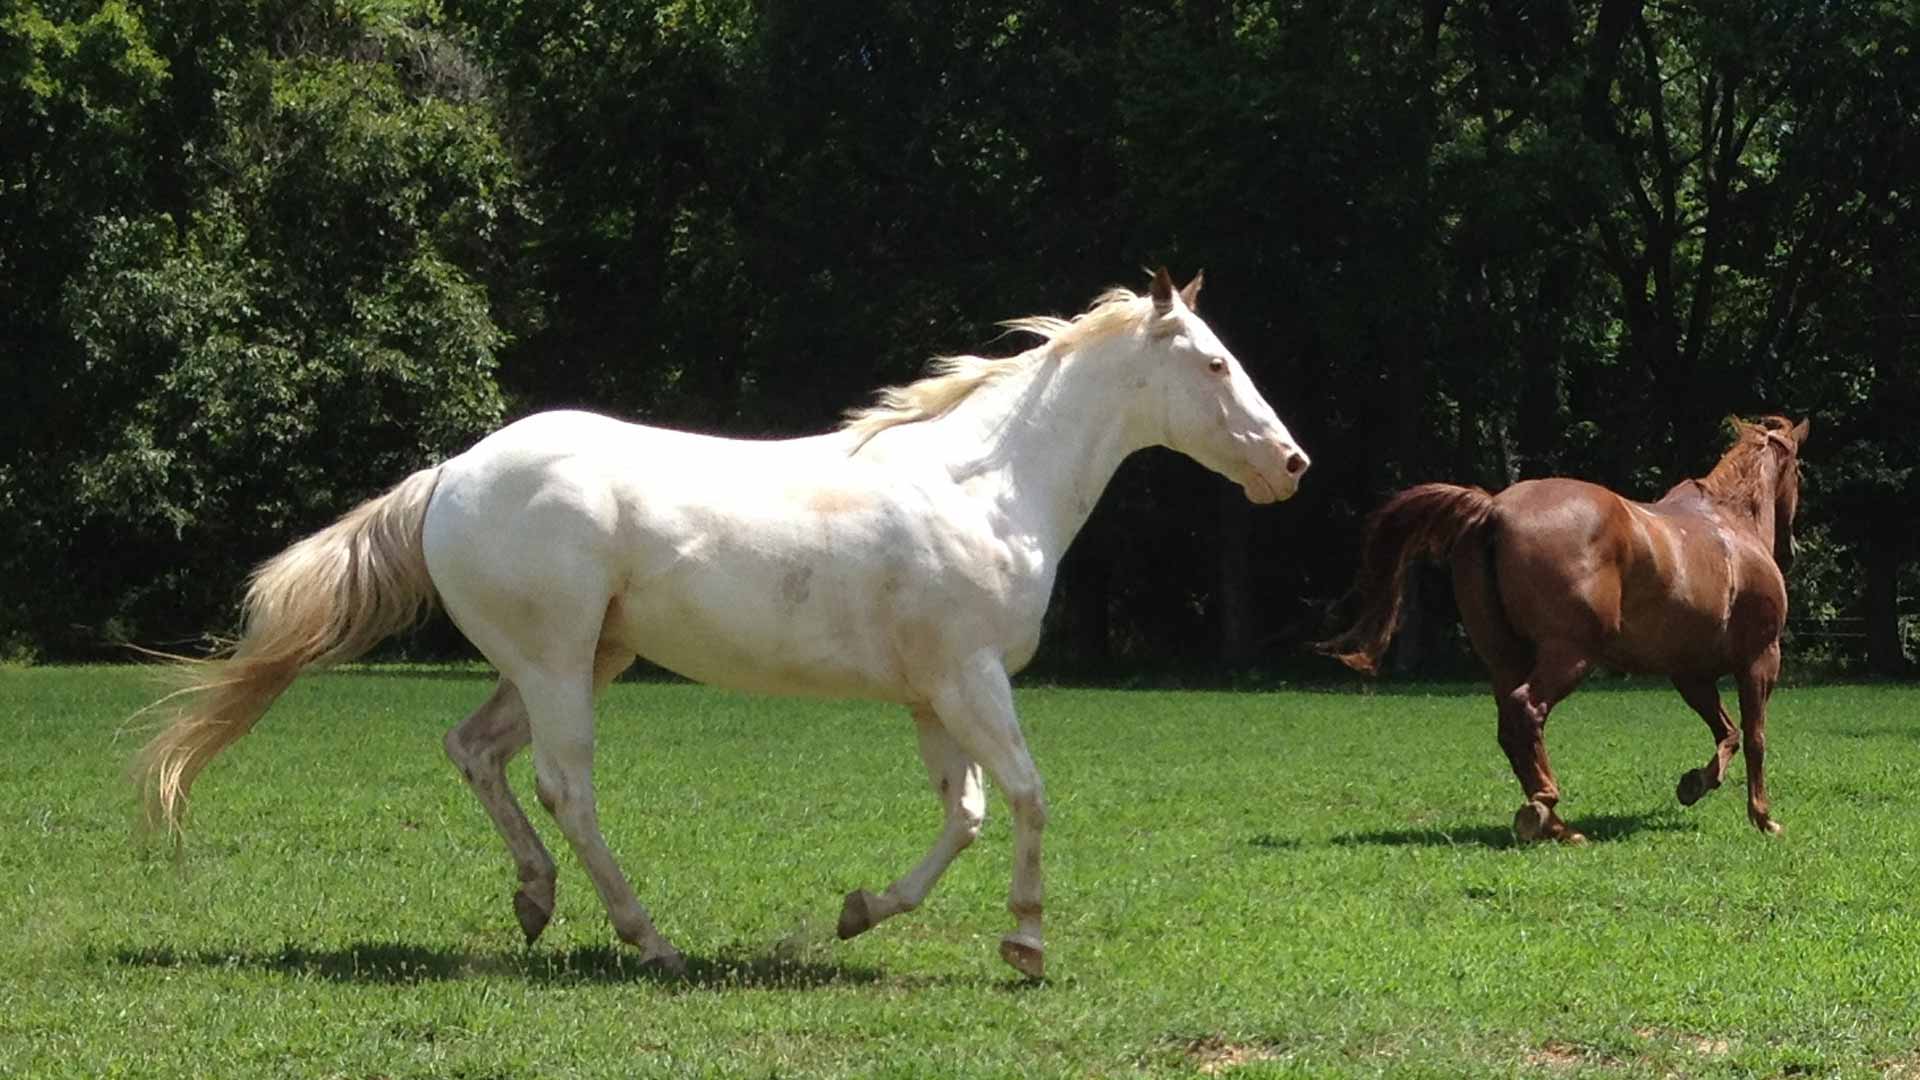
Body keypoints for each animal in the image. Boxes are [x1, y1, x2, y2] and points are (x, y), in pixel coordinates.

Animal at [133, 269, 1312, 978]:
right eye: (1212, 361)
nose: (1290, 464)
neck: (987, 482)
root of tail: (451, 475)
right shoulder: (973, 676)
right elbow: (1024, 796)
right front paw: (1024, 943)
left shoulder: (934, 694)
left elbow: (966, 813)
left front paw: (857, 911)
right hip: (559, 663)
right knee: (564, 786)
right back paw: (646, 939)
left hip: (574, 660)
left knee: (475, 753)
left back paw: (534, 901)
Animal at [1319, 416, 1808, 843]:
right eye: (1799, 469)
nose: (1791, 543)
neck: (1730, 525)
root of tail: (1493, 508)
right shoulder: (1760, 659)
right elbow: (1755, 737)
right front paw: (1763, 818)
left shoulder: (1690, 673)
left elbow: (1727, 733)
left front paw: (1694, 784)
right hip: (1569, 655)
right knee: (1527, 710)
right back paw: (1545, 805)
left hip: (1505, 658)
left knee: (1510, 728)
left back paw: (1556, 824)